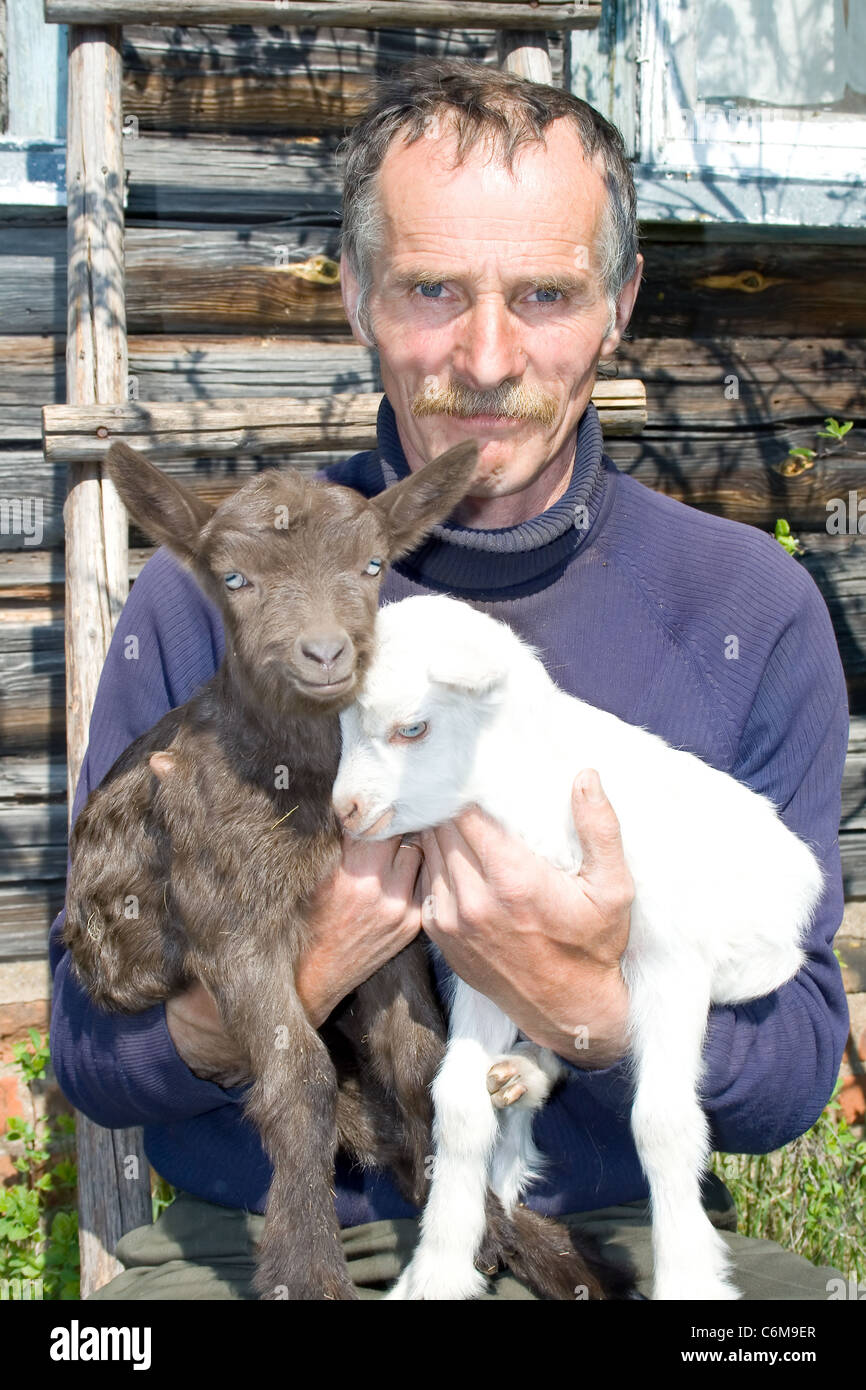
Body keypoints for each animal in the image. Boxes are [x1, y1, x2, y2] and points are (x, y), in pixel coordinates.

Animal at [62, 445, 630, 1303]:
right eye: (234, 577)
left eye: (371, 565)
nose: (327, 653)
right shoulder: (230, 917)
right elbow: (298, 1079)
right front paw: (307, 1269)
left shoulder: (392, 930)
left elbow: (419, 1061)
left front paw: (477, 1227)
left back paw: (552, 1252)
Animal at [332, 593, 825, 1301]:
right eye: (342, 725)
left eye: (413, 729)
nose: (344, 812)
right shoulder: (487, 966)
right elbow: (454, 1103)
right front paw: (437, 1271)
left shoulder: (671, 961)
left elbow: (663, 1123)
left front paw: (690, 1280)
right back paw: (522, 1074)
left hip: (760, 960)